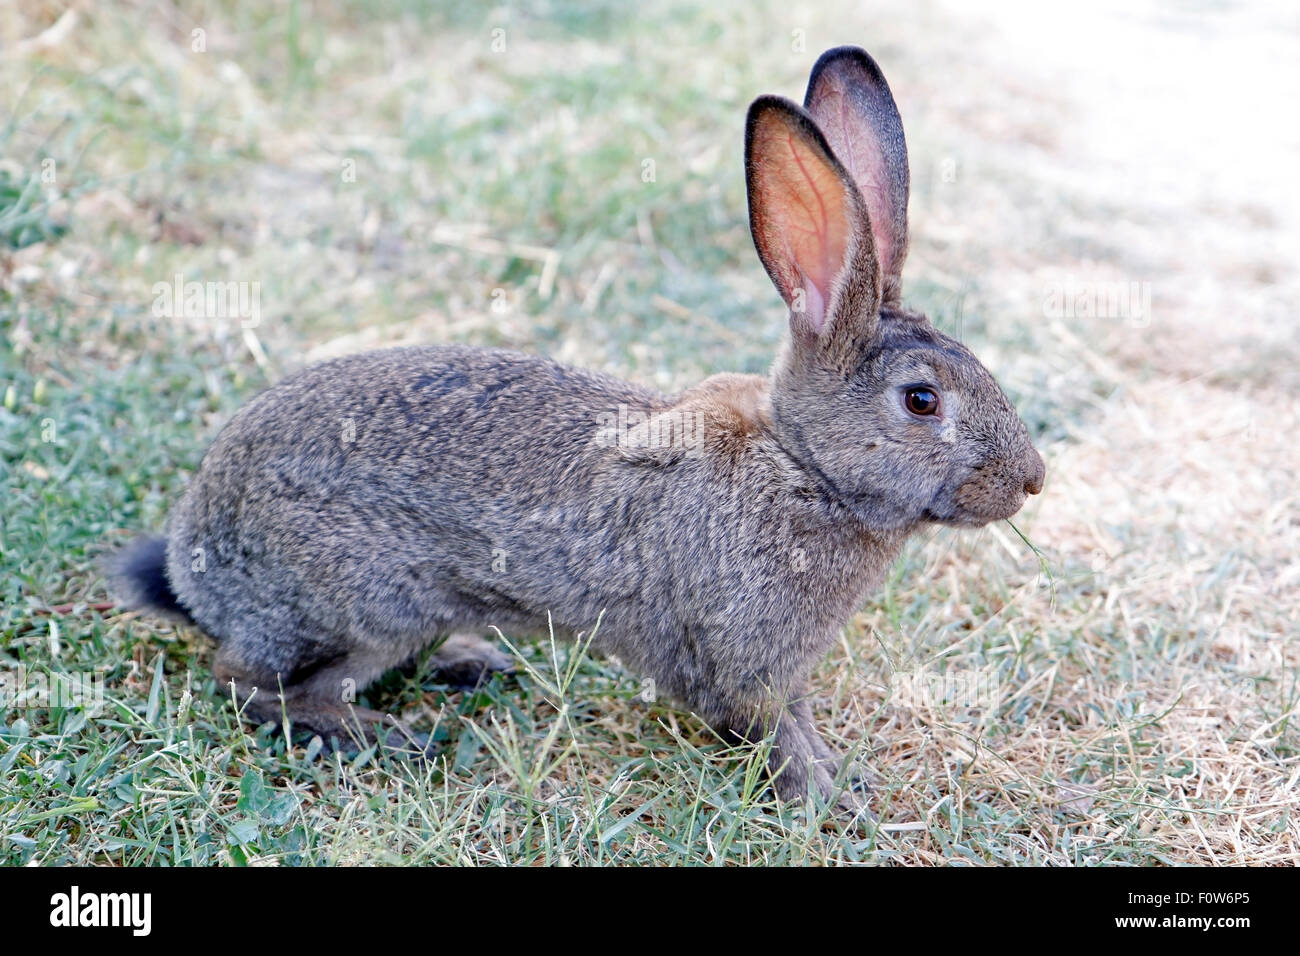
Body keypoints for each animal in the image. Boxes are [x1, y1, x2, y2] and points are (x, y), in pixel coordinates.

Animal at [110, 45, 1044, 809]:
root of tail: (194, 560)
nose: (1031, 480)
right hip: (361, 607)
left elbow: (801, 723)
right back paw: (375, 732)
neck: (804, 466)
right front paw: (830, 802)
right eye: (921, 400)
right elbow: (769, 731)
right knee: (247, 682)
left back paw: (469, 662)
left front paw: (843, 780)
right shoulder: (742, 665)